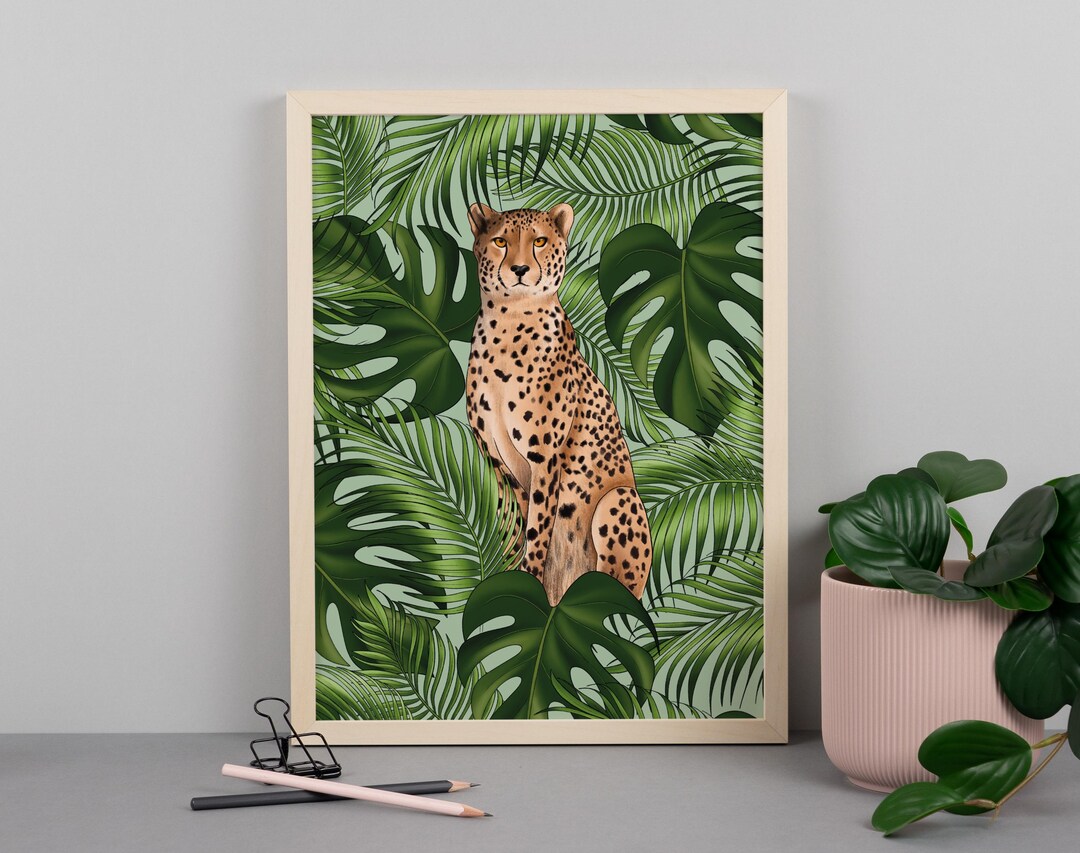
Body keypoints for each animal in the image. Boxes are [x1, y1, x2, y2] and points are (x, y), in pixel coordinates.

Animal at [465, 201, 652, 606]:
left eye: (539, 241)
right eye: (500, 241)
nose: (519, 270)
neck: (510, 320)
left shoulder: (545, 458)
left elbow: (538, 528)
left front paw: (528, 577)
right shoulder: (498, 463)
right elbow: (516, 524)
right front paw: (508, 576)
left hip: (618, 499)